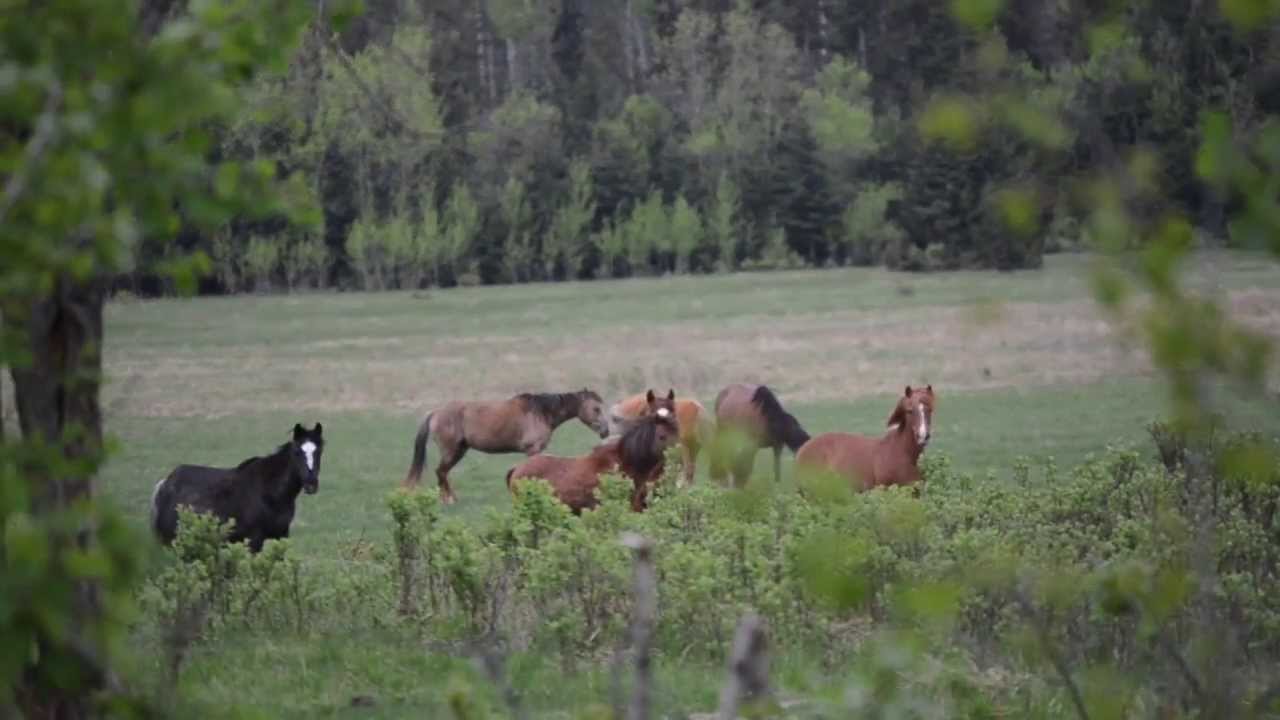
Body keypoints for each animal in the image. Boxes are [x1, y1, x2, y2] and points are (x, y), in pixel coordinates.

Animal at [150, 423, 325, 553]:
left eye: (319, 451)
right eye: (297, 451)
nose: (311, 484)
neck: (270, 493)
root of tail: (164, 484)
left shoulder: (281, 536)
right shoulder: (253, 542)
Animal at [402, 388, 610, 504]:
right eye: (596, 409)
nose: (605, 431)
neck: (541, 412)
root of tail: (435, 412)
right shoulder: (533, 450)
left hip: (459, 450)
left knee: (443, 473)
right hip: (451, 451)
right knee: (441, 472)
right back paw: (448, 500)